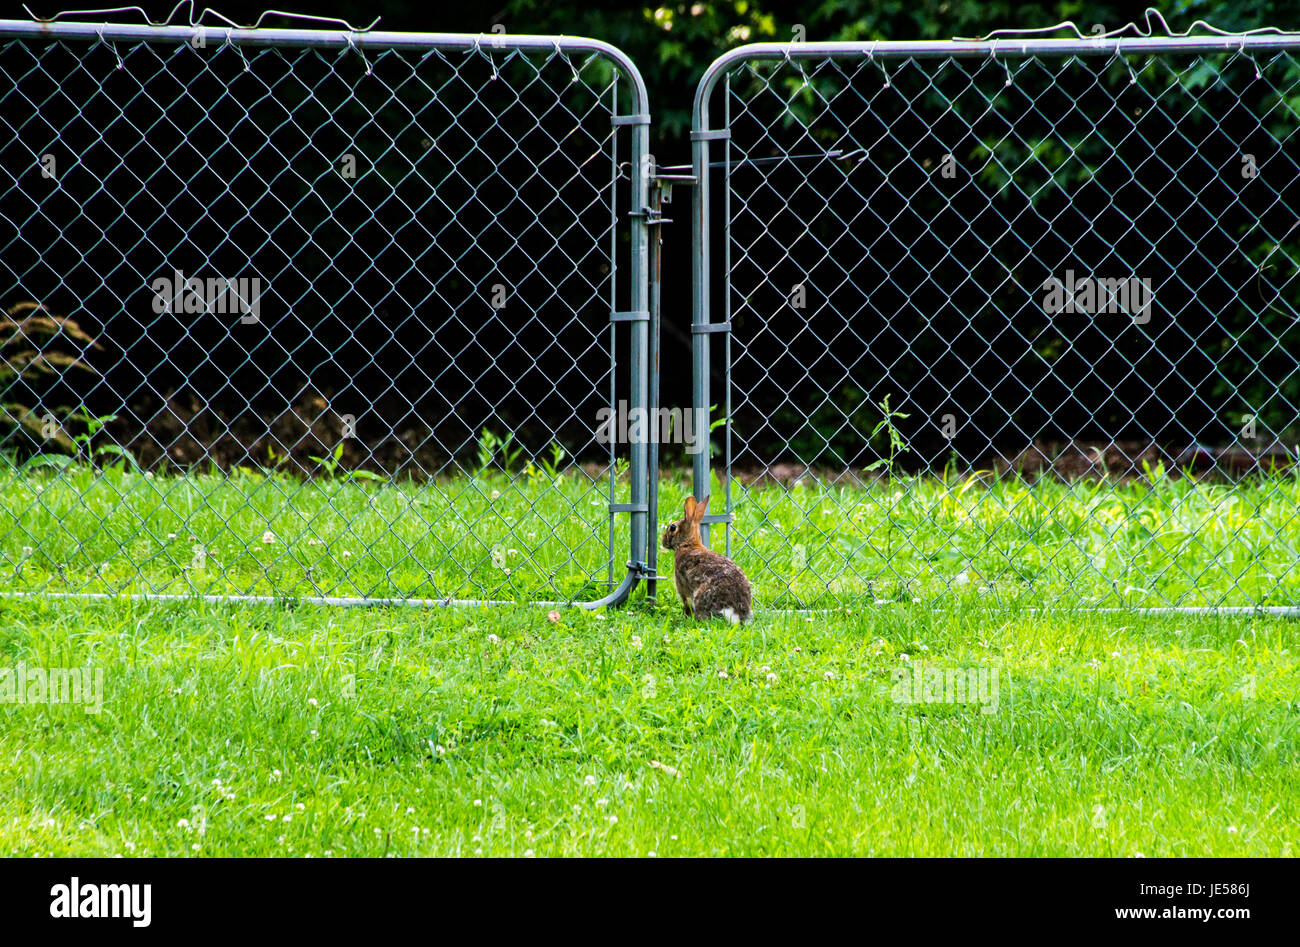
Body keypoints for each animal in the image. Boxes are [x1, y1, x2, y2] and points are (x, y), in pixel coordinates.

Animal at [661, 494, 752, 623]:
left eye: (673, 527)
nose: (663, 541)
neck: (688, 545)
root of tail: (733, 612)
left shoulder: (682, 587)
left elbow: (686, 605)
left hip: (700, 595)